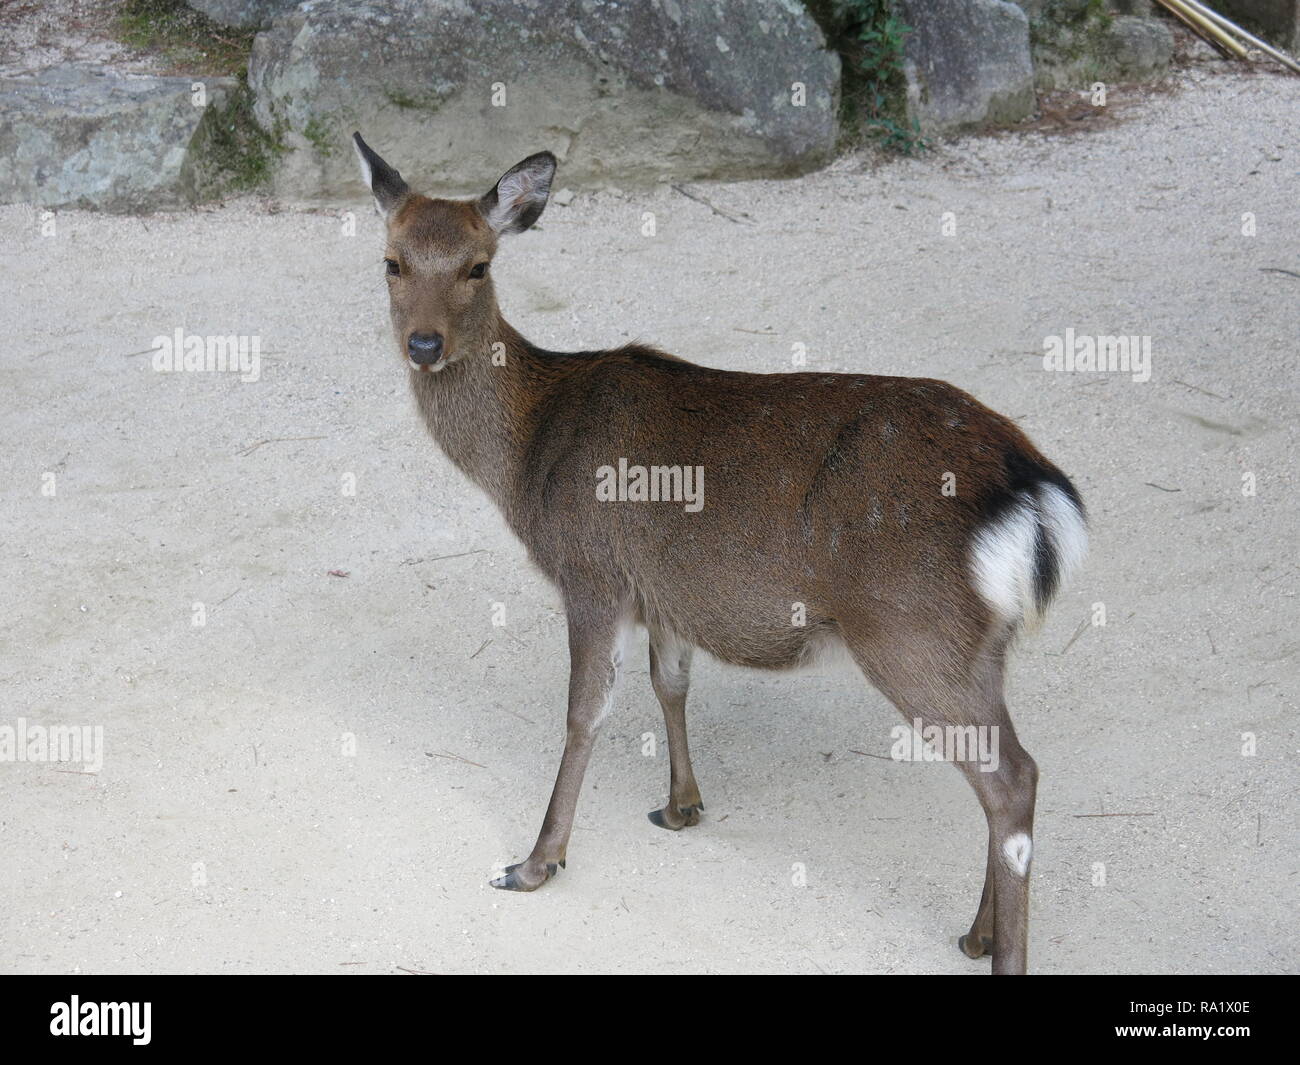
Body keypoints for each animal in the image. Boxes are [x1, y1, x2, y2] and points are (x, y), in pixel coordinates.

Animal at [351, 133, 1087, 974]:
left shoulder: (592, 572)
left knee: (1012, 778)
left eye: (478, 265)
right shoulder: (667, 592)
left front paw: (536, 861)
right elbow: (669, 684)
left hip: (910, 628)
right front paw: (681, 806)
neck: (530, 452)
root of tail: (1031, 485)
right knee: (1006, 769)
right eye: (392, 261)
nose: (425, 344)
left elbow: (584, 712)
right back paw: (977, 931)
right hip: (980, 641)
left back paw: (999, 950)